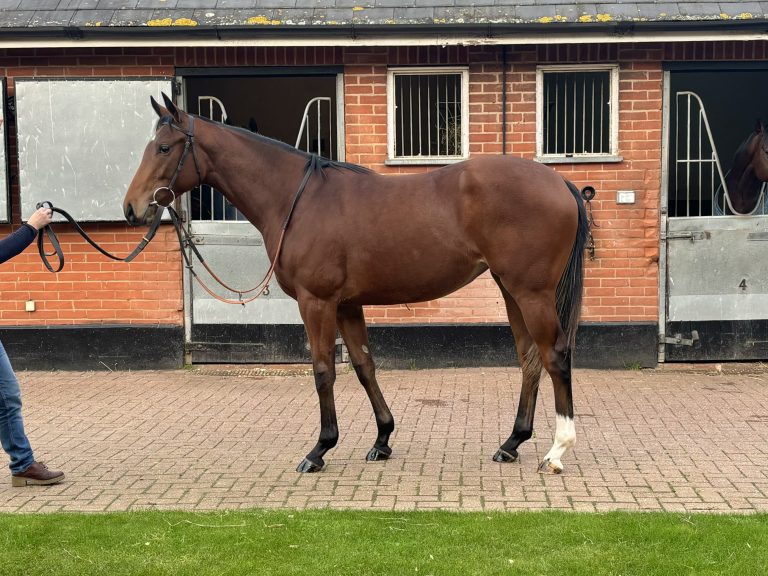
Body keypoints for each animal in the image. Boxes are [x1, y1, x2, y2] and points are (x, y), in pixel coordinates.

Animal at [123, 93, 589, 475]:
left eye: (164, 147)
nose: (131, 208)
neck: (296, 200)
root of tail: (560, 182)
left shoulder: (317, 302)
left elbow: (323, 370)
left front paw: (319, 450)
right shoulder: (347, 304)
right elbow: (365, 367)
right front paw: (382, 440)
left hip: (531, 293)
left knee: (554, 355)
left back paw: (557, 451)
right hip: (511, 290)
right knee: (529, 358)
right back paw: (511, 444)